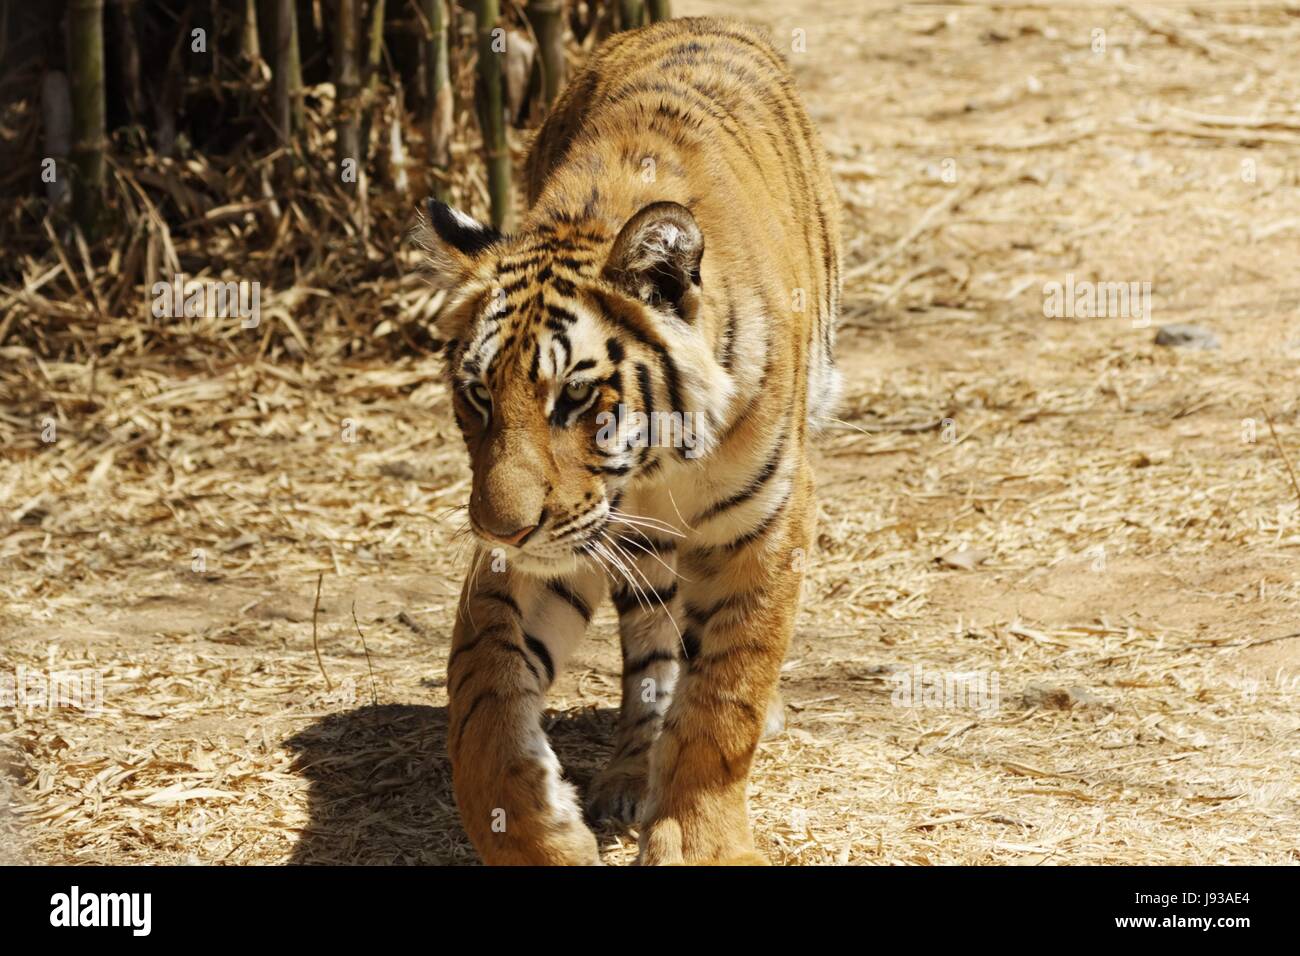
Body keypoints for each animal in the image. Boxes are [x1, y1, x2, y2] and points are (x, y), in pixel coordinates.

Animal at [419, 16, 841, 865]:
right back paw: (626, 774)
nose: (497, 528)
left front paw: (702, 841)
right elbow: (481, 701)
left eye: (574, 397)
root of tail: (694, 19)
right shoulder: (549, 549)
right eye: (479, 395)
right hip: (637, 550)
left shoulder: (767, 525)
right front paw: (541, 837)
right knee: (650, 649)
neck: (654, 467)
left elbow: (725, 697)